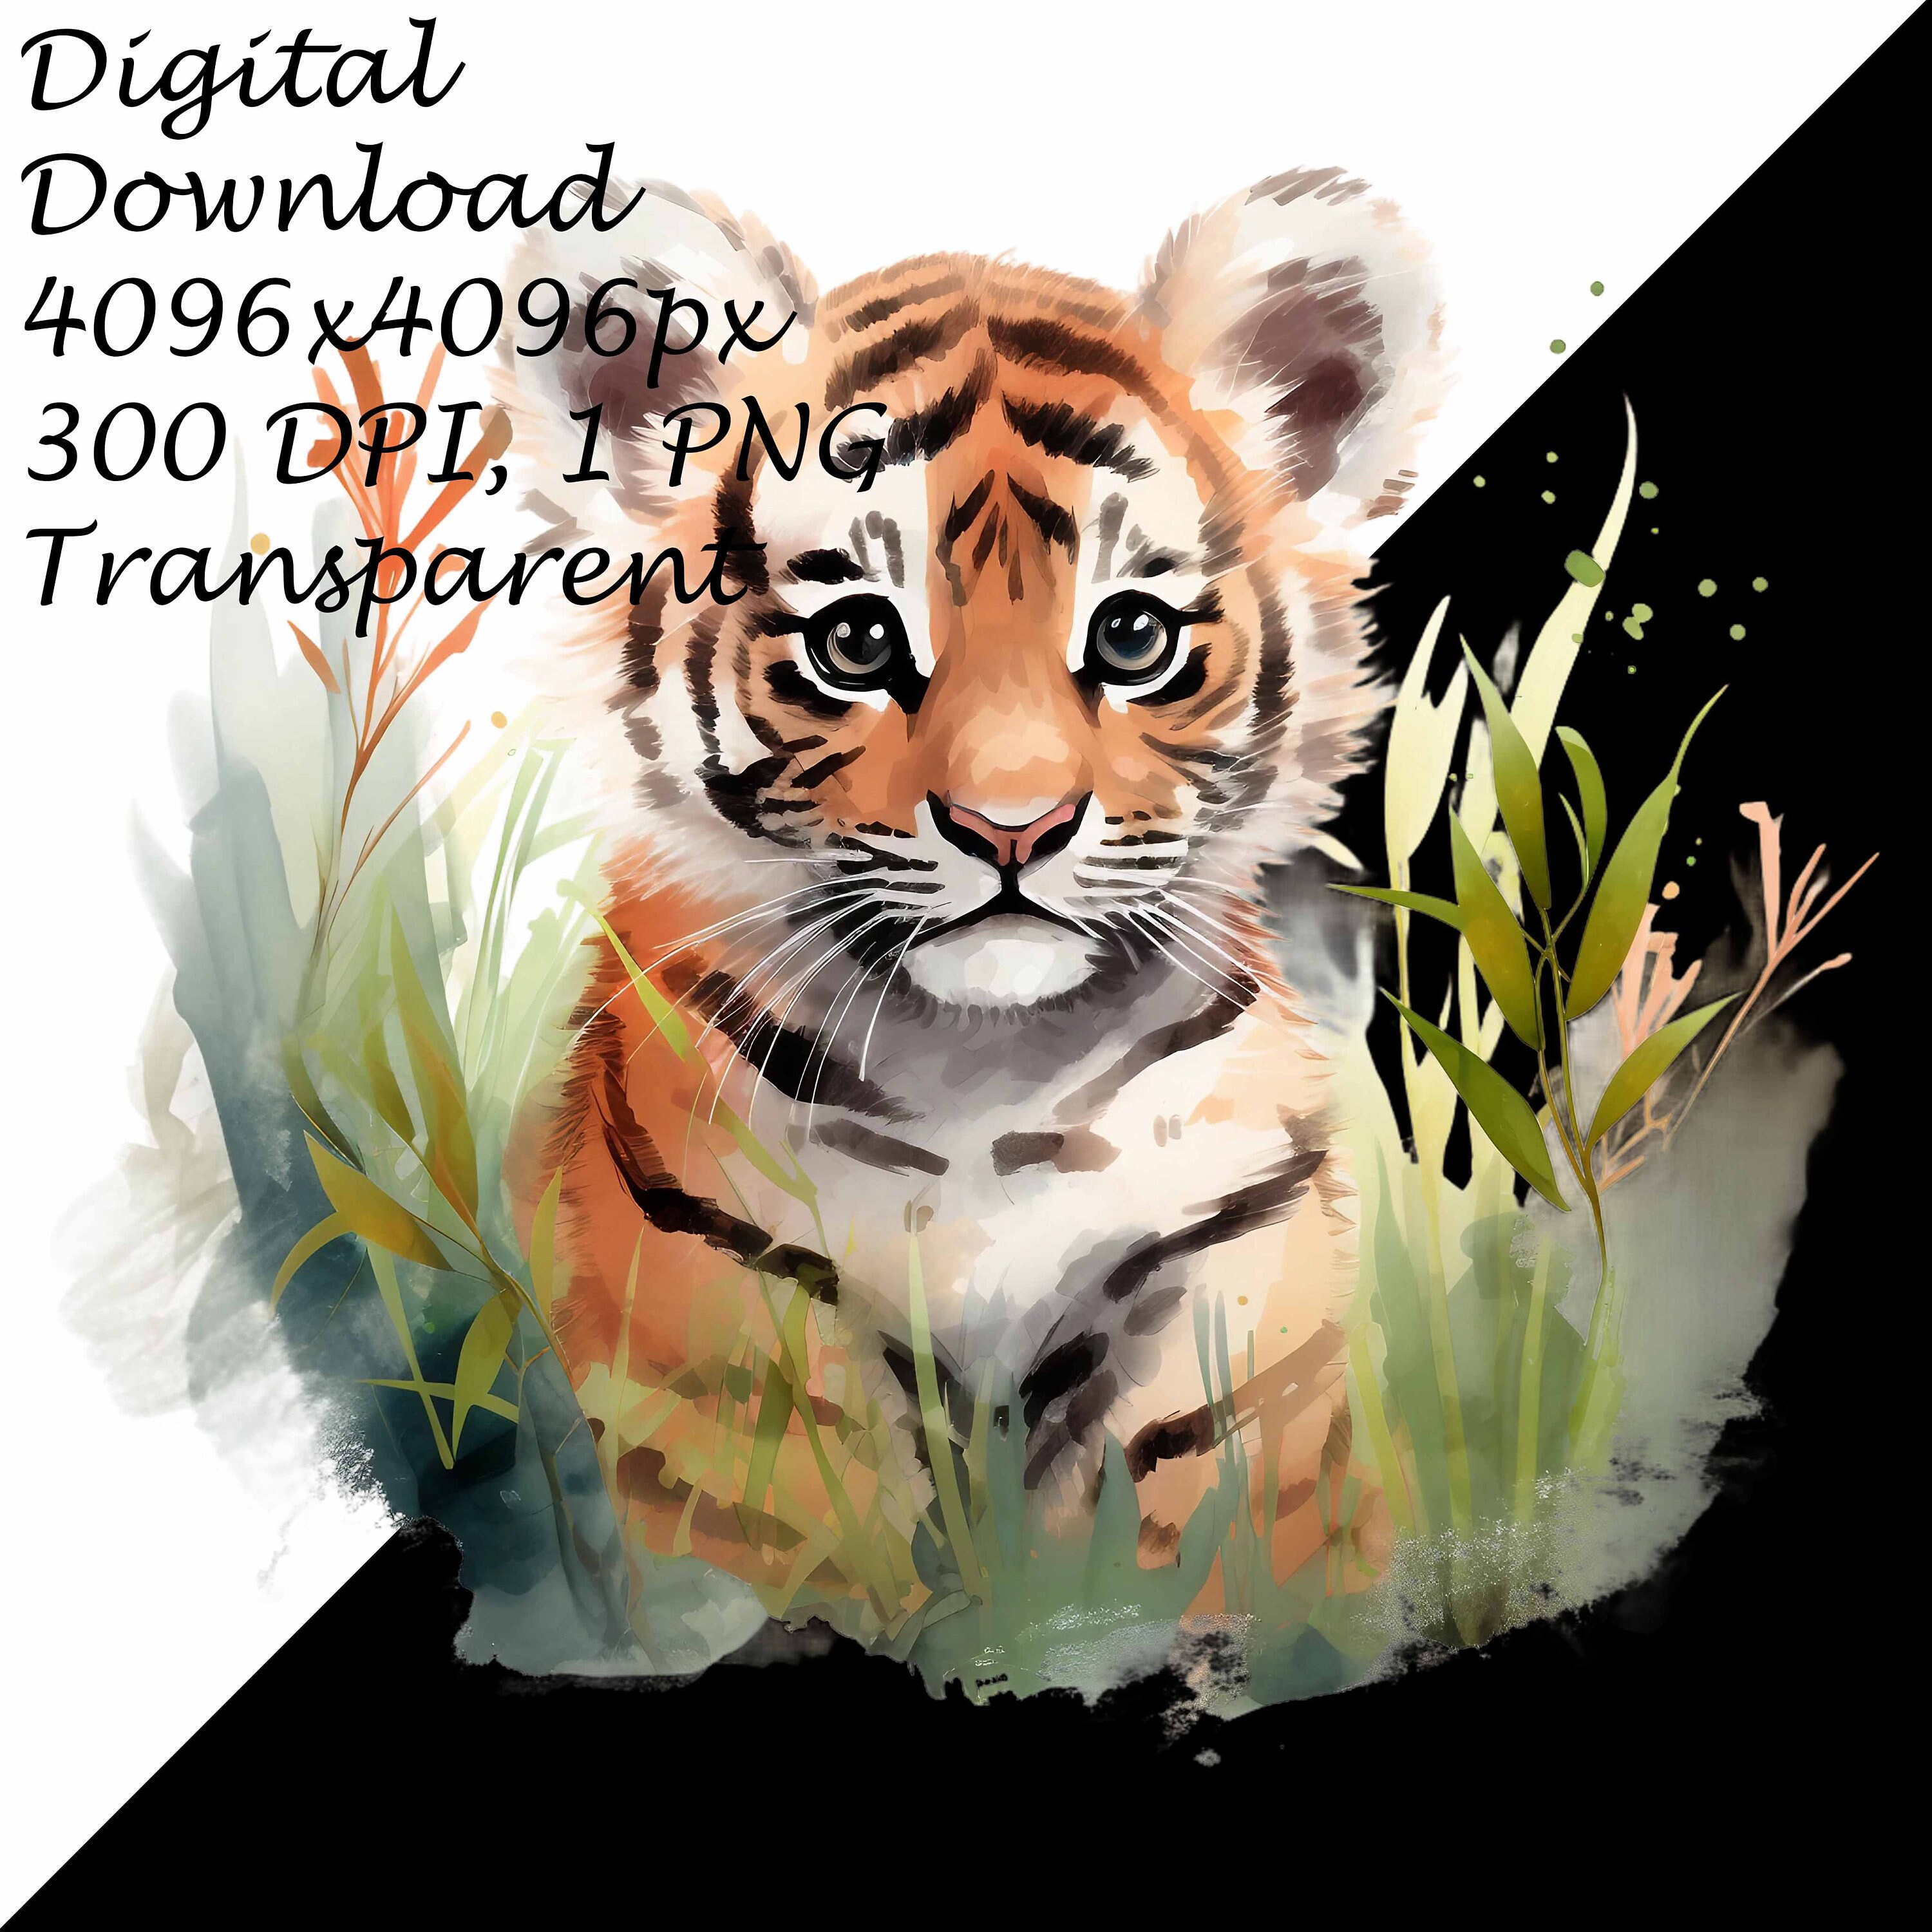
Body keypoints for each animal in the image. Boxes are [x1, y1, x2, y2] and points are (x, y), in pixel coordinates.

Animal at [499, 166, 1446, 1623]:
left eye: (1132, 635)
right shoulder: (725, 1336)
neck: (988, 1084)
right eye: (855, 642)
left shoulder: (1223, 1295)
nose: (1016, 829)